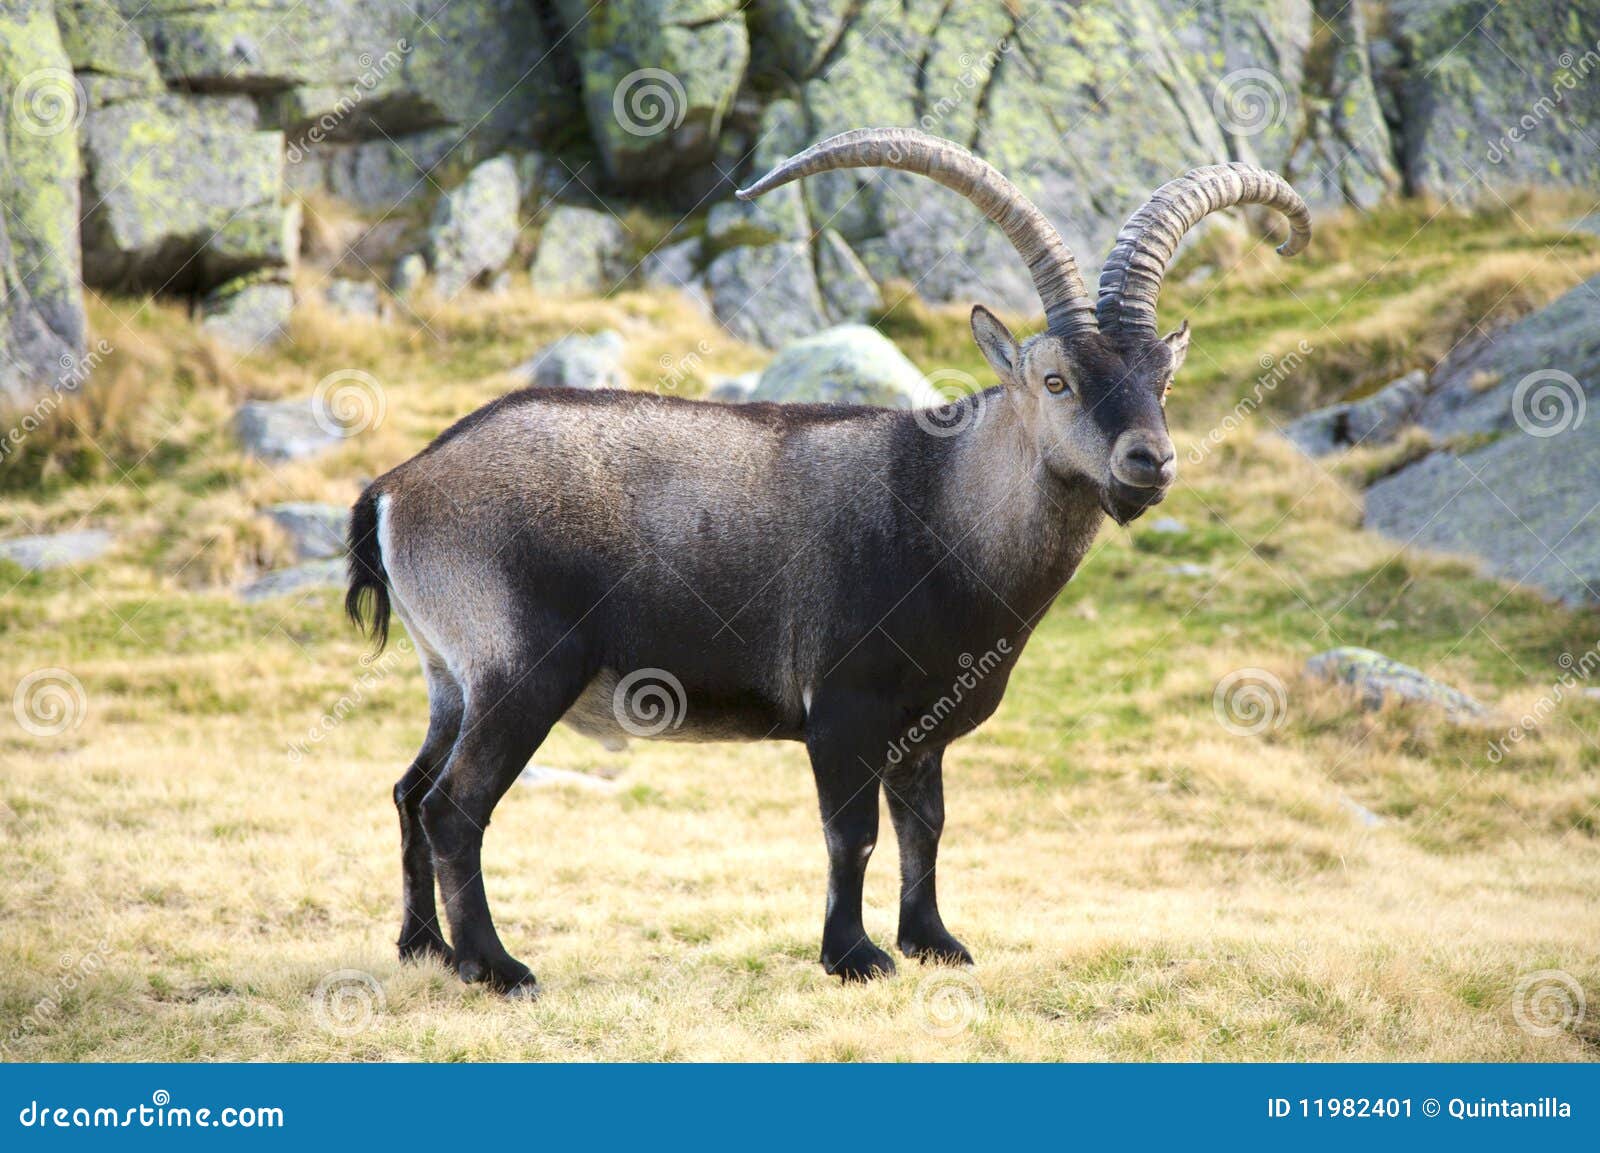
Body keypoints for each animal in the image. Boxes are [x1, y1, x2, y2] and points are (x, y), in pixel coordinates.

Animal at [346, 127, 1311, 994]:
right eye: (1056, 380)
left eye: (1164, 379)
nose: (1149, 461)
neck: (942, 505)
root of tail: (399, 485)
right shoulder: (844, 711)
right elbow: (854, 834)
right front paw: (854, 956)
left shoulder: (924, 727)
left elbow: (926, 825)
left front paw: (934, 942)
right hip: (520, 672)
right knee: (454, 806)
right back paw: (496, 966)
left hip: (452, 678)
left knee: (407, 790)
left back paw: (423, 948)